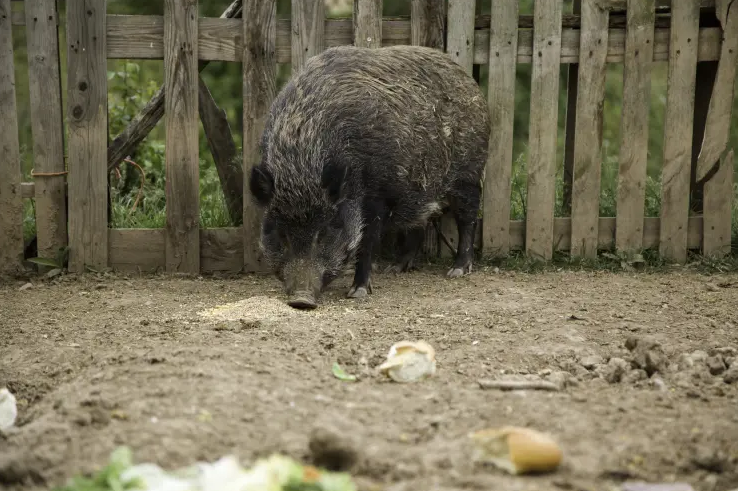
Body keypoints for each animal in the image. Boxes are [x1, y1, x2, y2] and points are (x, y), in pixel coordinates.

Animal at [248, 44, 490, 309]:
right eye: (281, 234)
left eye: (324, 232)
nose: (302, 300)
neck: (302, 162)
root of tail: (470, 82)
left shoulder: (376, 197)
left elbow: (367, 243)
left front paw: (358, 292)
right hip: (418, 189)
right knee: (418, 223)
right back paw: (395, 268)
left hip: (468, 175)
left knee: (467, 219)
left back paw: (457, 271)